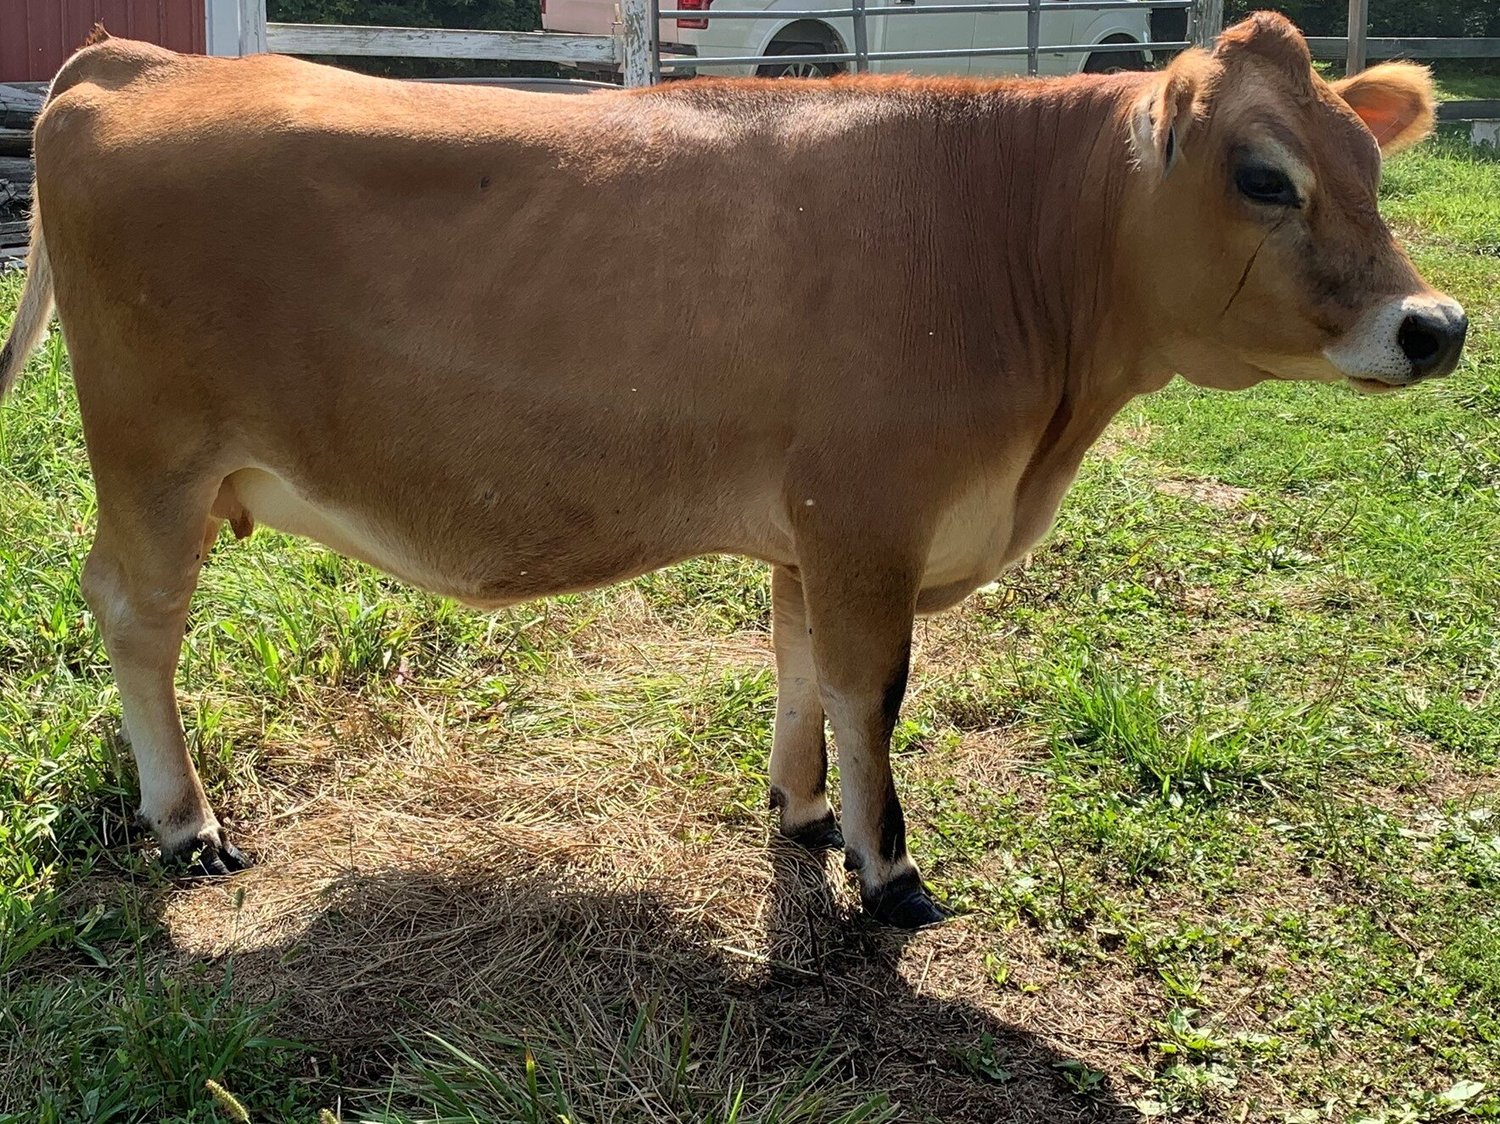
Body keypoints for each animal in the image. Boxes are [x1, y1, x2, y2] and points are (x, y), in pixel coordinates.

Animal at [0, 13, 1466, 928]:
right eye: (1264, 176)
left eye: (1371, 159)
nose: (1438, 324)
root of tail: (132, 63)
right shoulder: (871, 514)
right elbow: (872, 690)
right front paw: (888, 872)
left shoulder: (810, 529)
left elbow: (800, 665)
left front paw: (803, 812)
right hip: (153, 458)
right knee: (136, 615)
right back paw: (184, 822)